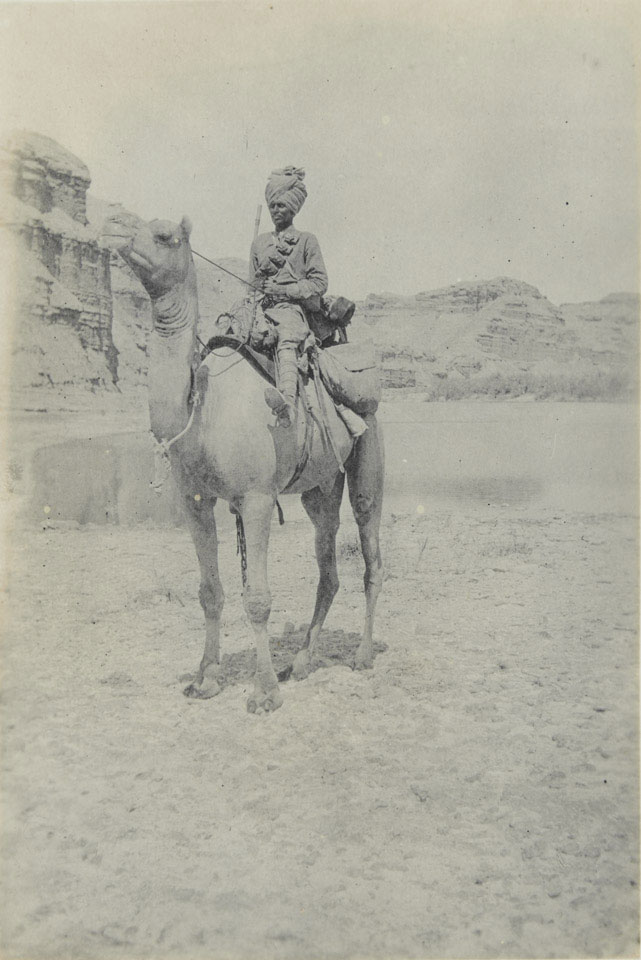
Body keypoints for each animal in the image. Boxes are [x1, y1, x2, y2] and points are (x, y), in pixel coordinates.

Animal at [106, 213, 384, 712]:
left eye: (164, 235)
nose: (115, 223)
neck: (203, 406)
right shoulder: (195, 500)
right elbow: (210, 592)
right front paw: (206, 678)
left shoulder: (255, 498)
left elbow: (256, 598)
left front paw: (263, 691)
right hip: (320, 486)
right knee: (327, 562)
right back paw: (302, 660)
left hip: (368, 444)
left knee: (370, 547)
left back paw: (363, 654)